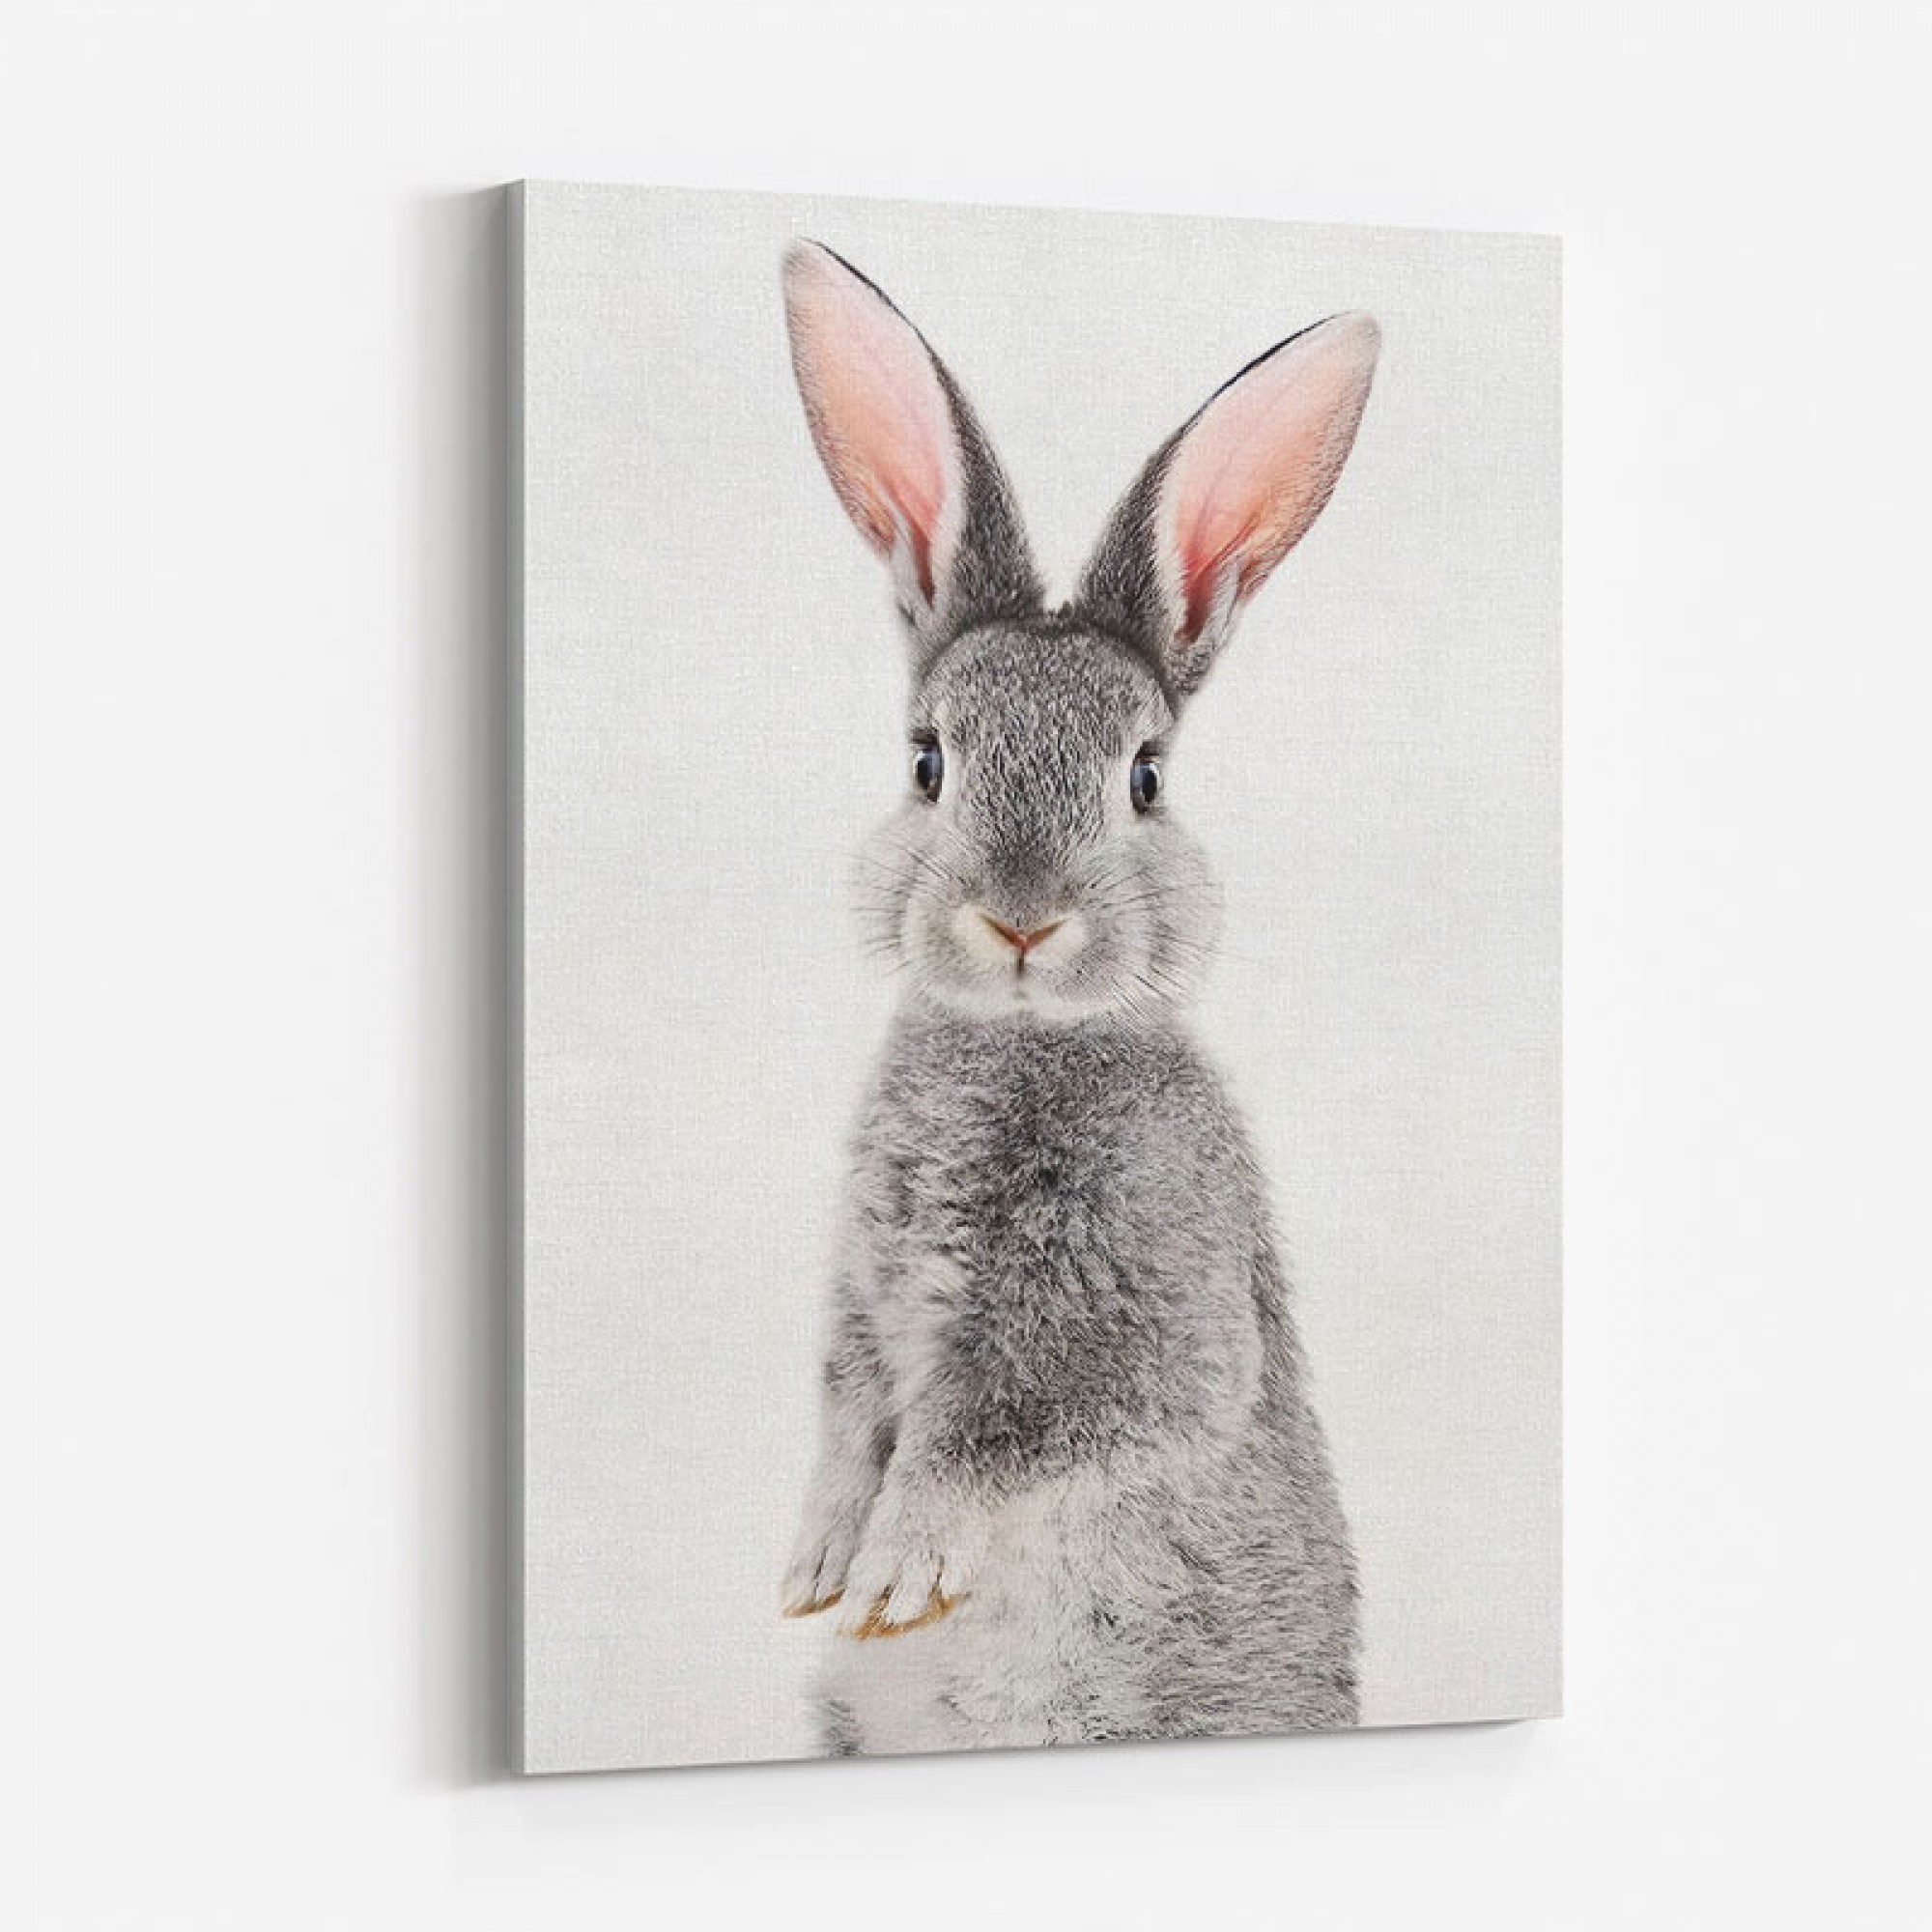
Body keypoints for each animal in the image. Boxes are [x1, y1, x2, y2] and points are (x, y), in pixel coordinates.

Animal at [777, 239, 1380, 1755]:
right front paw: (818, 1562)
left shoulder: (1143, 1329)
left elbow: (994, 1434)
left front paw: (895, 1563)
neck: (1014, 1040)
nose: (1021, 917)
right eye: (928, 760)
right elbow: (849, 1415)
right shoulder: (862, 1308)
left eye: (1146, 778)